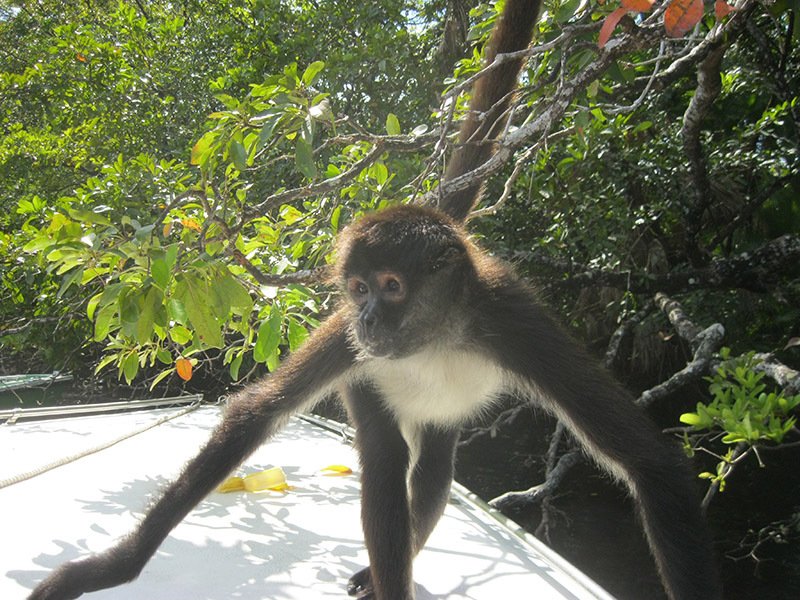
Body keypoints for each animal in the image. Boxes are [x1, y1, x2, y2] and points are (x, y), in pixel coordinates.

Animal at [28, 1, 723, 599]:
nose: (367, 313)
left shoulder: (510, 319)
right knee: (390, 461)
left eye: (392, 287)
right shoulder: (348, 340)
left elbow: (652, 465)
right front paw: (111, 570)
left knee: (433, 469)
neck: (437, 334)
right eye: (360, 289)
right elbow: (255, 414)